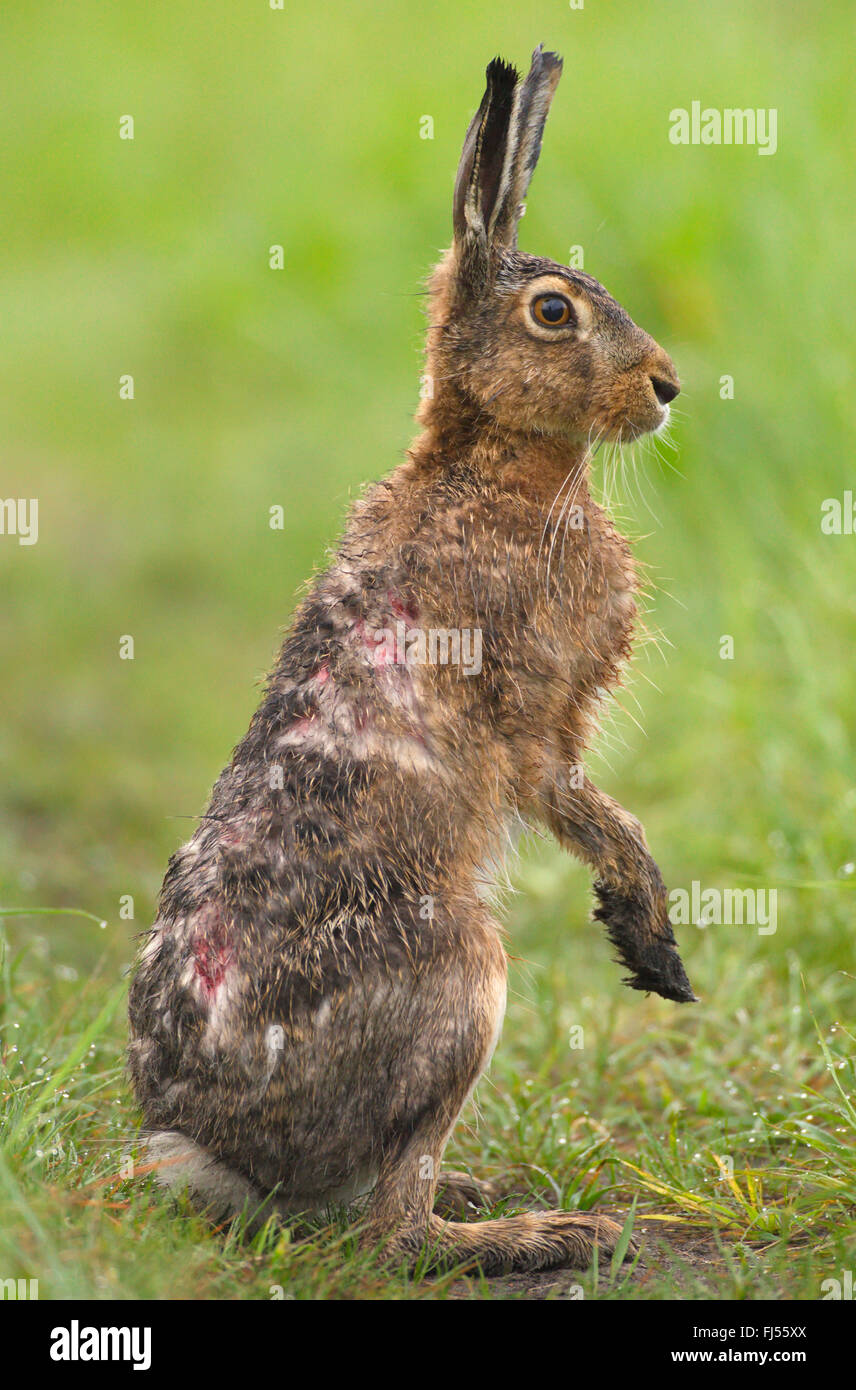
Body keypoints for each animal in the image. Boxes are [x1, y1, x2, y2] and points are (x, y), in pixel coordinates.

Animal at [128, 43, 696, 1276]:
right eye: (553, 312)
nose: (668, 386)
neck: (490, 462)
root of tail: (215, 1149)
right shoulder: (537, 724)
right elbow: (589, 809)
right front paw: (651, 942)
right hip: (457, 975)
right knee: (394, 1231)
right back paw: (537, 1233)